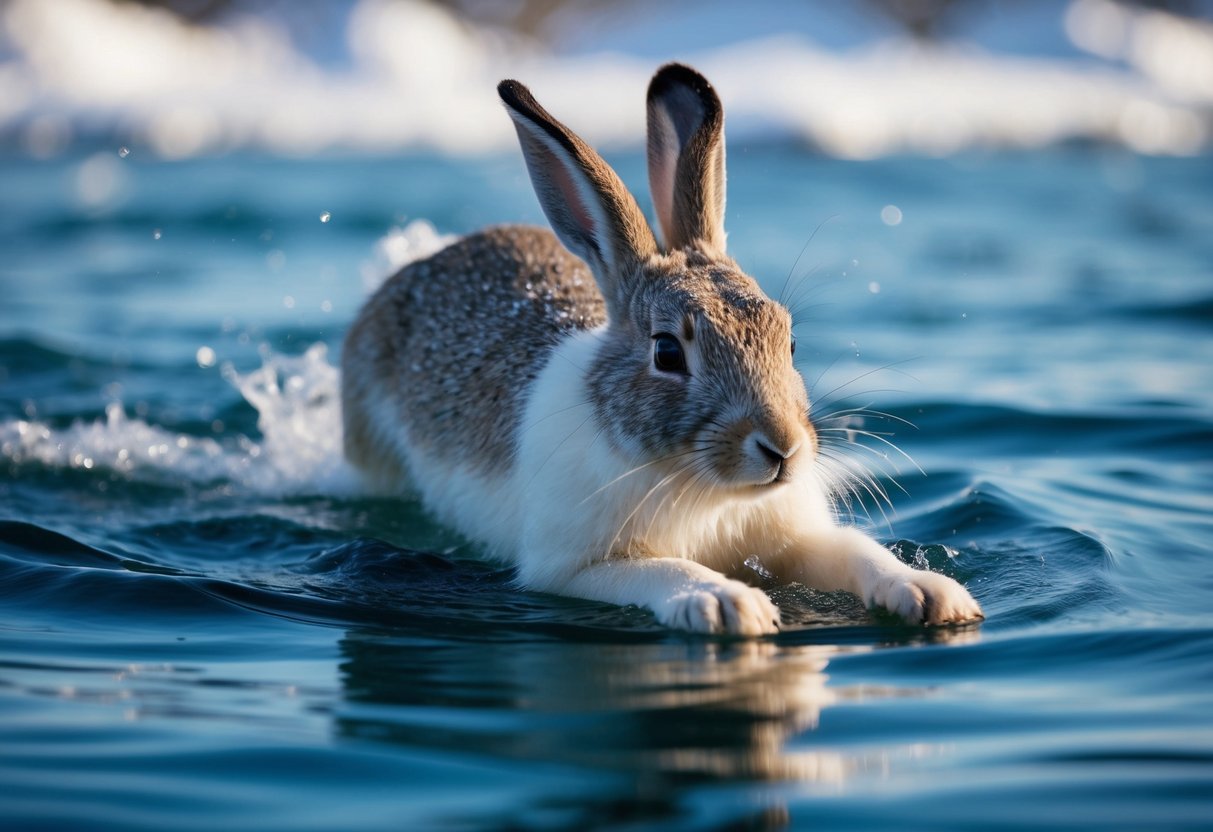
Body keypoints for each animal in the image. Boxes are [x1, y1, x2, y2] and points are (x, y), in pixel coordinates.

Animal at [341, 63, 984, 635]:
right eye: (668, 353)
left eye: (790, 341)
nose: (782, 449)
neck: (706, 488)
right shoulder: (576, 569)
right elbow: (664, 569)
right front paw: (728, 605)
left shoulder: (799, 539)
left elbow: (854, 551)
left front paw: (933, 595)